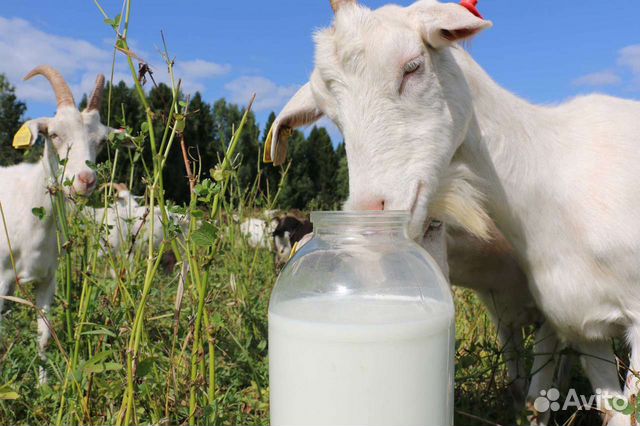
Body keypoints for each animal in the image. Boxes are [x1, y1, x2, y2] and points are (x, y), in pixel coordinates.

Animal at [0, 66, 109, 383]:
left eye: (102, 141)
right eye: (55, 134)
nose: (86, 179)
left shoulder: (48, 280)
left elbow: (44, 335)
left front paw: (43, 383)